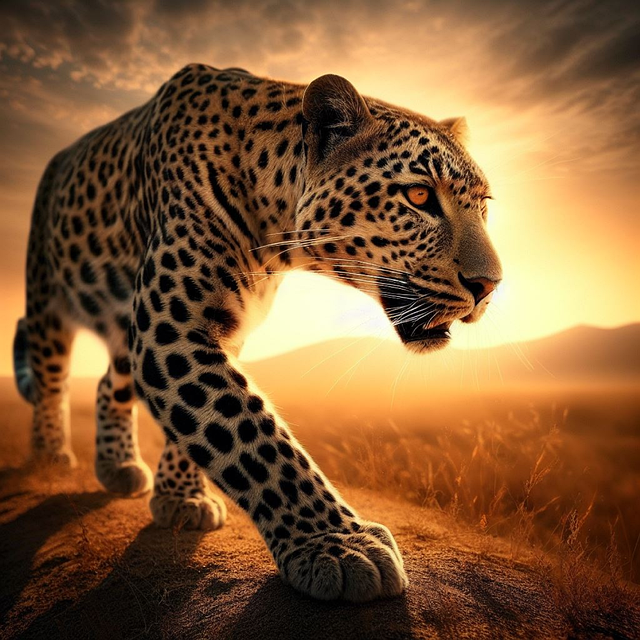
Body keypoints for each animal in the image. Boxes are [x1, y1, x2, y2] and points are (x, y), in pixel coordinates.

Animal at [13, 63, 502, 602]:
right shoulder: (173, 329)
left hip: (126, 321)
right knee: (51, 376)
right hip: (46, 295)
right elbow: (252, 434)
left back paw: (118, 469)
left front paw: (181, 497)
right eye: (418, 196)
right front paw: (338, 547)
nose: (490, 285)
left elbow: (204, 425)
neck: (275, 229)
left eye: (483, 206)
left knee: (107, 382)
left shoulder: (212, 330)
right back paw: (52, 457)